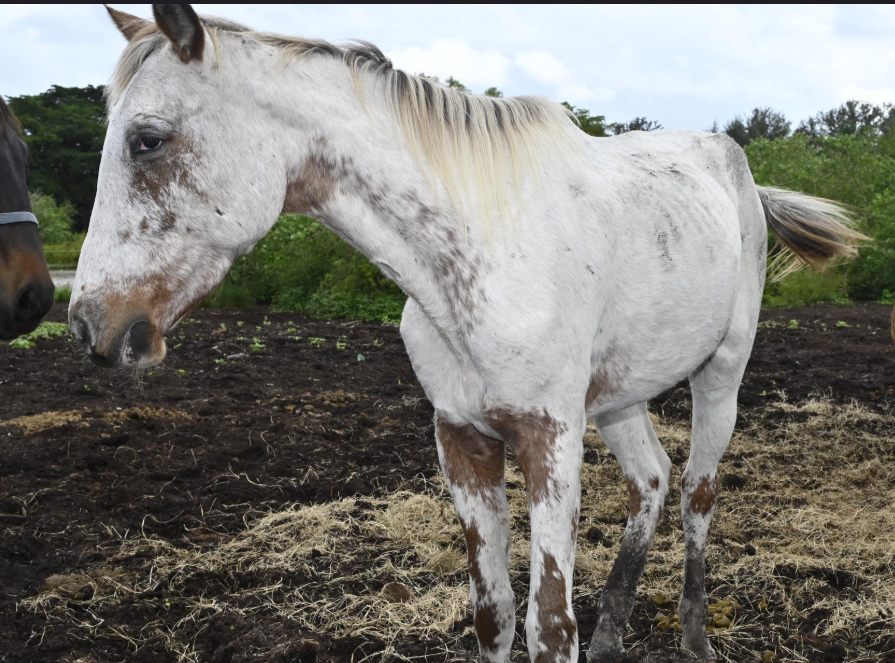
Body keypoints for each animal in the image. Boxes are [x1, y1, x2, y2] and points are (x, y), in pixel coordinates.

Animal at [70, 6, 866, 661]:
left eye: (147, 140)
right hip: (618, 398)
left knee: (698, 492)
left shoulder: (549, 439)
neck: (479, 257)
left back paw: (694, 636)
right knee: (651, 479)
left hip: (721, 373)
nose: (90, 325)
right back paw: (615, 633)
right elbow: (496, 615)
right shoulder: (462, 439)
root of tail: (735, 166)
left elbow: (550, 626)